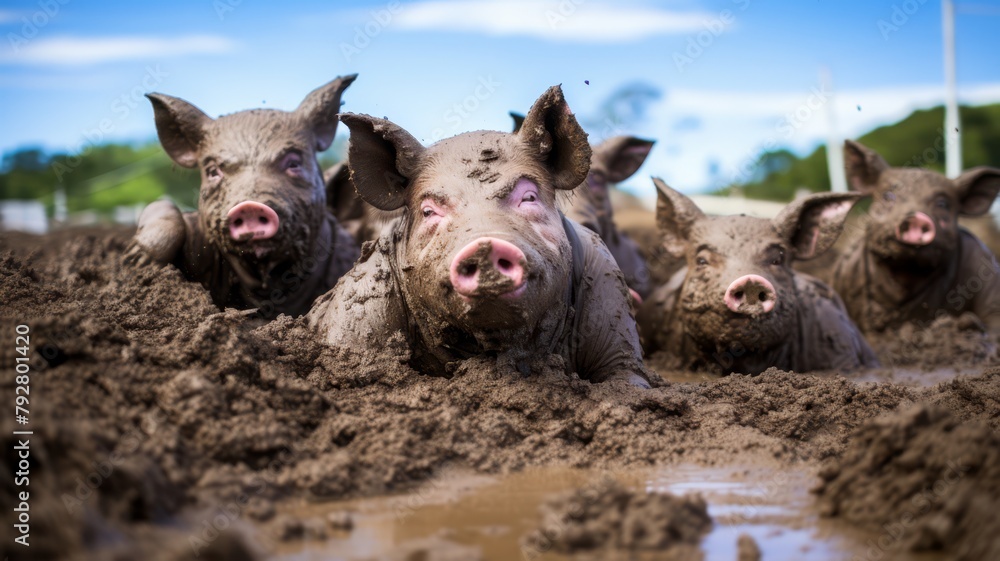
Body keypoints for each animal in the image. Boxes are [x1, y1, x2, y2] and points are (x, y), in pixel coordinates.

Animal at [832, 140, 1000, 333]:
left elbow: (993, 317)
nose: (916, 217)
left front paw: (968, 324)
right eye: (888, 196)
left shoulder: (983, 264)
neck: (906, 274)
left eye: (943, 204)